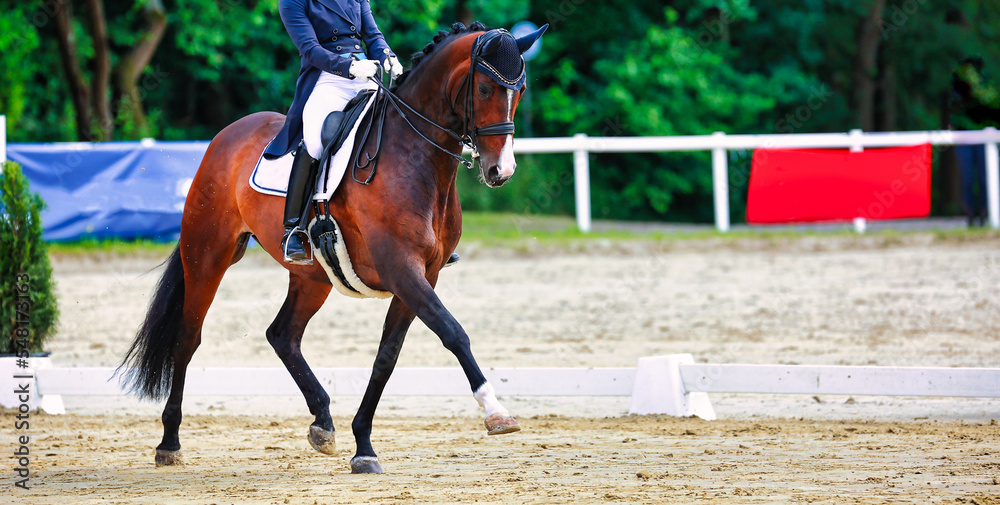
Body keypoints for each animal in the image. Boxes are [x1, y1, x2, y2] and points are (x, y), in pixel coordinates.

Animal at [117, 22, 547, 474]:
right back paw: (169, 441)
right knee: (188, 337)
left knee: (282, 335)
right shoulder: (402, 269)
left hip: (312, 276)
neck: (415, 158)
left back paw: (323, 422)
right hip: (208, 255)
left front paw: (364, 445)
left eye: (520, 89)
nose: (501, 171)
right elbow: (453, 332)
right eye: (483, 88)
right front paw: (496, 412)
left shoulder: (422, 276)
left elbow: (387, 356)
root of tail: (228, 134)